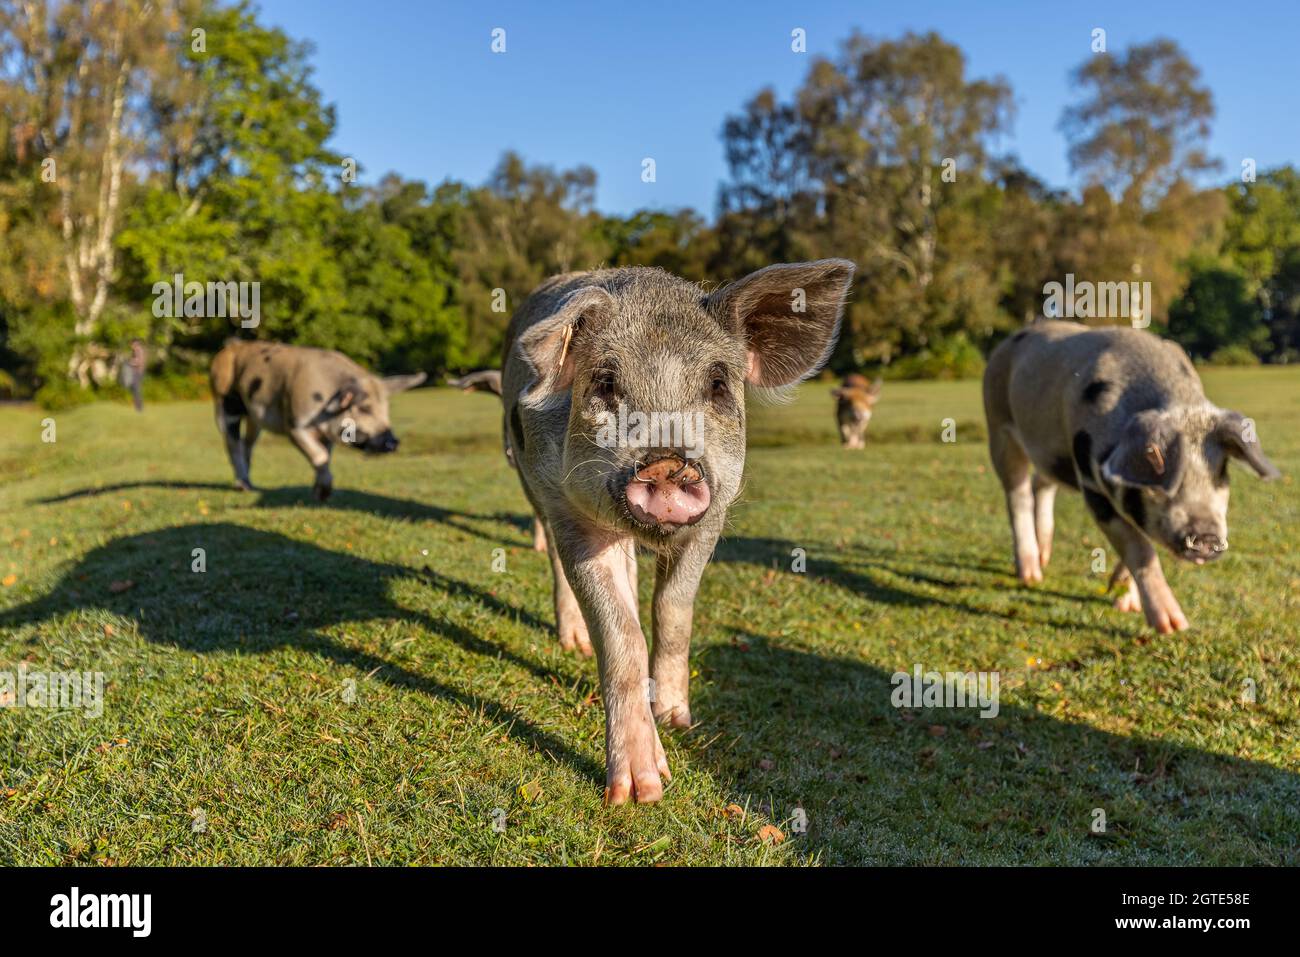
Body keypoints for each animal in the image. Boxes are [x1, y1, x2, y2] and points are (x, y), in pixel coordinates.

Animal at [209, 339, 426, 500]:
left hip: (254, 418)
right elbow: (319, 455)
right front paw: (322, 494)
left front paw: (319, 494)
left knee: (247, 444)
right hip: (223, 400)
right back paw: (242, 486)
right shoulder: (296, 426)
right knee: (232, 444)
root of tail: (231, 346)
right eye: (364, 408)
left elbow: (325, 456)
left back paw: (251, 485)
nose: (393, 442)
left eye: (386, 409)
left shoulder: (326, 433)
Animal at [496, 260, 855, 803]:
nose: (667, 462)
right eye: (605, 381)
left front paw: (677, 720)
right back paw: (574, 645)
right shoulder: (570, 511)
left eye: (718, 383)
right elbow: (621, 635)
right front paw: (640, 792)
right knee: (558, 563)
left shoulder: (712, 518)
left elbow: (673, 610)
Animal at [983, 320, 1281, 633]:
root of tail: (1011, 339)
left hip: (1049, 455)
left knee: (1041, 483)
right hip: (998, 424)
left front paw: (1124, 602)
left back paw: (1044, 557)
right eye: (1159, 470)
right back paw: (1030, 575)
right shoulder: (1090, 481)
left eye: (1221, 470)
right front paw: (1172, 626)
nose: (1207, 537)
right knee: (1017, 496)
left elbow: (1141, 539)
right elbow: (1139, 547)